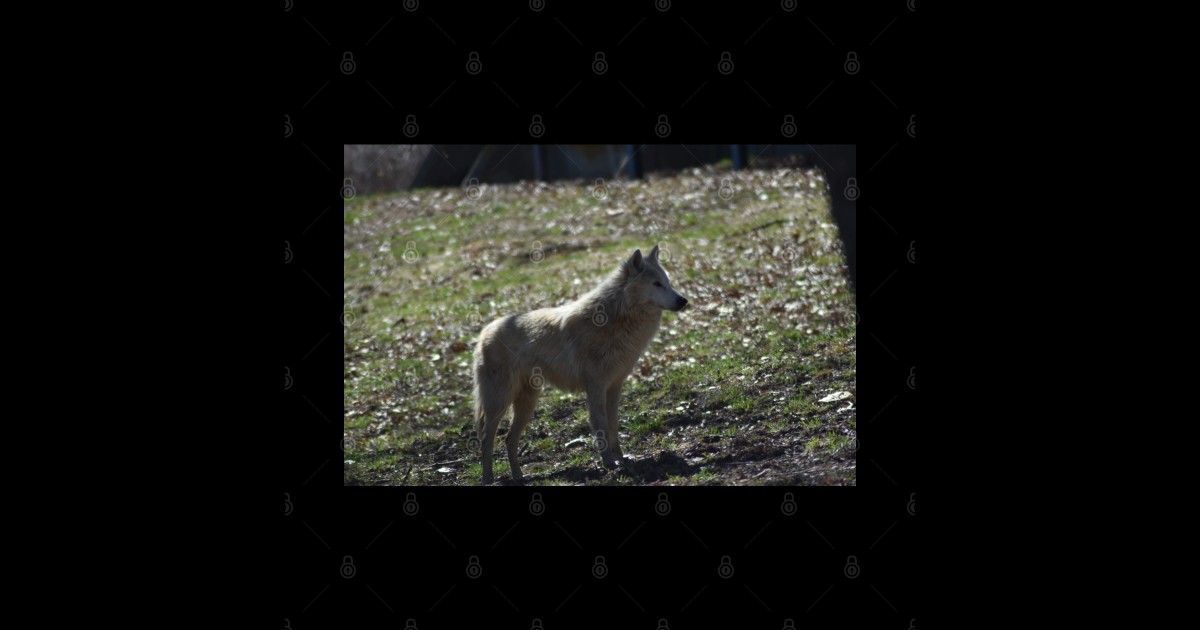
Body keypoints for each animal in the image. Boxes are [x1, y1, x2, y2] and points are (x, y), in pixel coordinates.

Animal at [472, 245, 688, 485]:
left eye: (667, 282)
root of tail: (483, 333)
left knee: (509, 439)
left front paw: (622, 460)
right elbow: (601, 426)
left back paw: (519, 476)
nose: (683, 301)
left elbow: (613, 427)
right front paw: (608, 464)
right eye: (656, 284)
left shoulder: (615, 387)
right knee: (486, 439)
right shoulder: (595, 387)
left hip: (527, 403)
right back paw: (488, 479)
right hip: (500, 402)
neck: (616, 317)